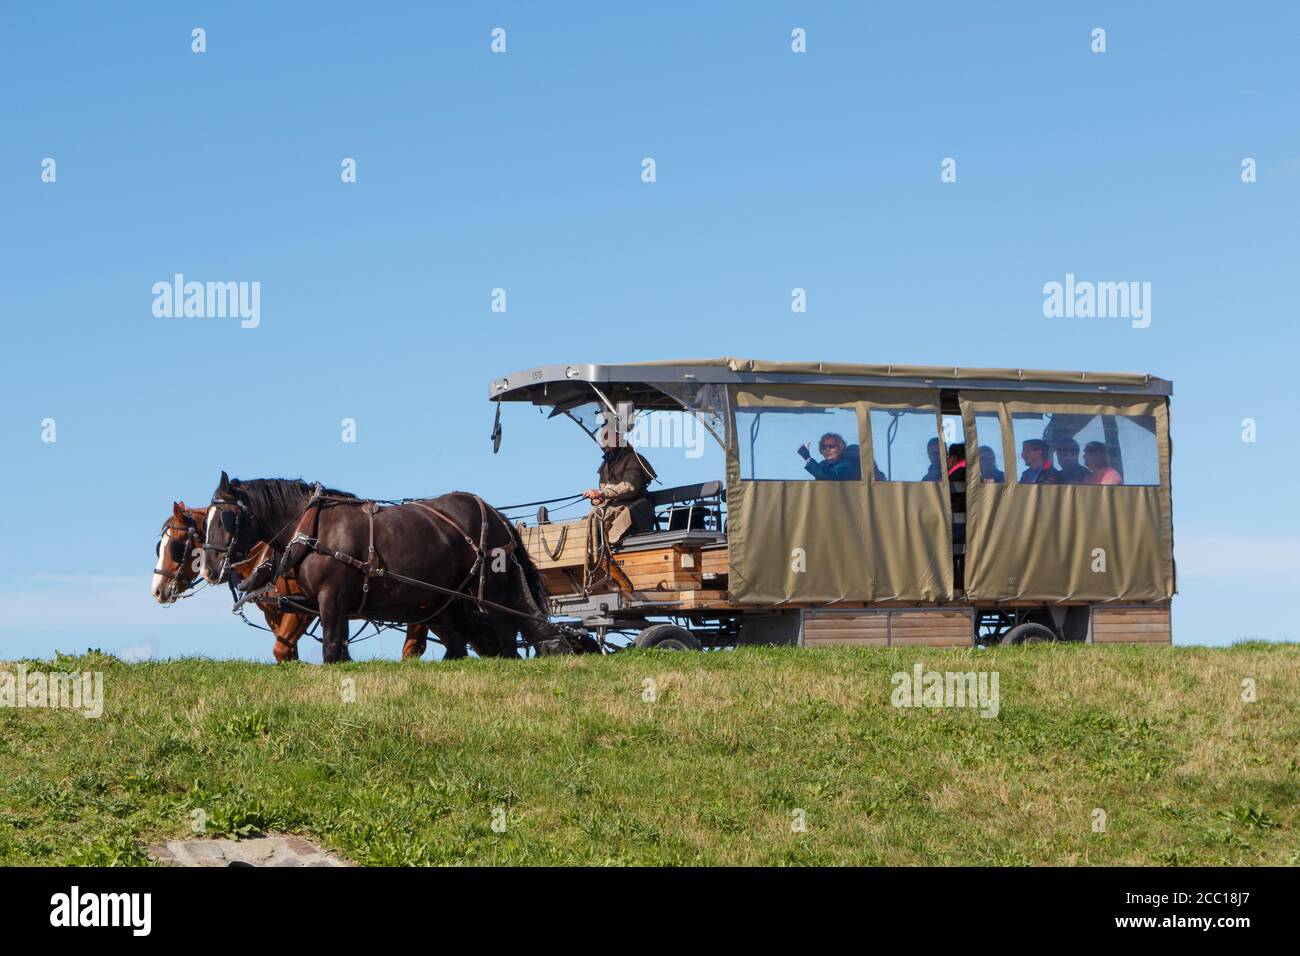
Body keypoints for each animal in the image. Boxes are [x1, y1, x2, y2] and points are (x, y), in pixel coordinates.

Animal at [198, 473, 573, 663]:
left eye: (226, 518)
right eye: (207, 519)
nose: (210, 568)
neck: (312, 529)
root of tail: (494, 513)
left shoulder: (331, 599)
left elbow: (331, 650)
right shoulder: (329, 604)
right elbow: (336, 648)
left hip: (490, 584)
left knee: (506, 628)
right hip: (449, 596)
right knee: (460, 641)